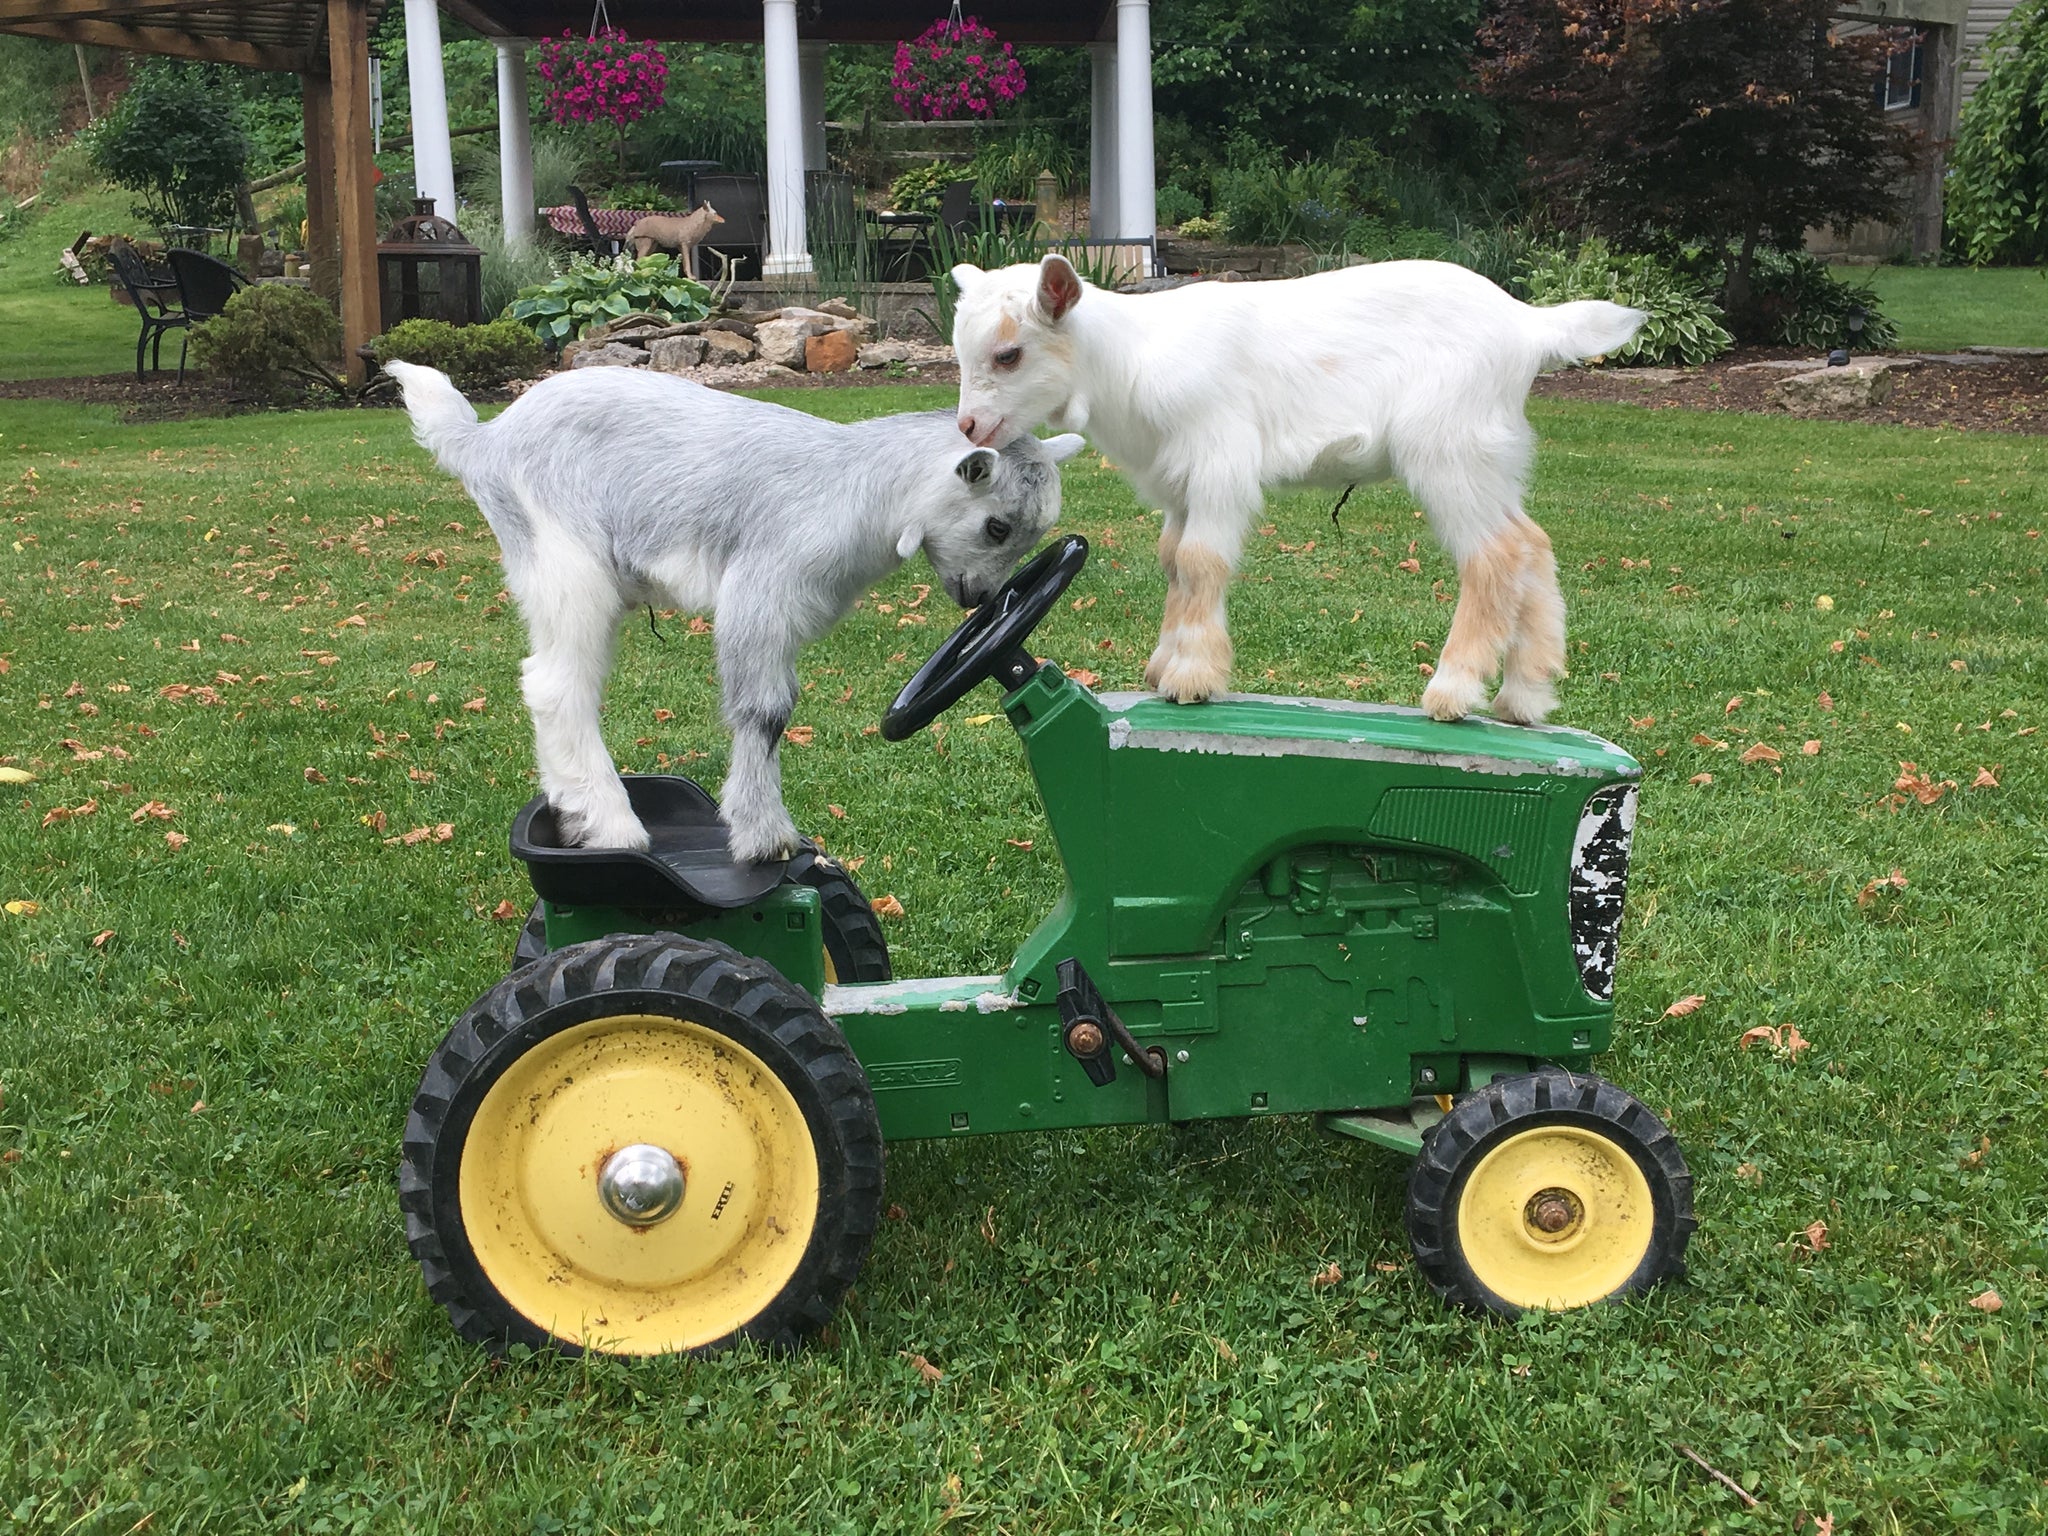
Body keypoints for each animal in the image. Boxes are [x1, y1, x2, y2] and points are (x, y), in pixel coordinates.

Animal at [387, 361, 1084, 860]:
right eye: (997, 526)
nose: (987, 601)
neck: (854, 486)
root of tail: (486, 441)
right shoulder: (762, 590)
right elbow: (766, 712)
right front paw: (765, 837)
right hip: (562, 558)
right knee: (557, 686)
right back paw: (613, 827)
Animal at [949, 256, 1645, 725]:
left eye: (1009, 354)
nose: (969, 427)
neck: (1132, 360)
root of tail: (1528, 327)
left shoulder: (1220, 459)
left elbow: (1200, 561)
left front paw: (1192, 679)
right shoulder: (1178, 483)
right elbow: (1173, 560)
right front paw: (1162, 665)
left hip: (1449, 449)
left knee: (1495, 555)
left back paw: (1452, 692)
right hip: (1491, 456)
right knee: (1532, 545)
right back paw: (1524, 698)